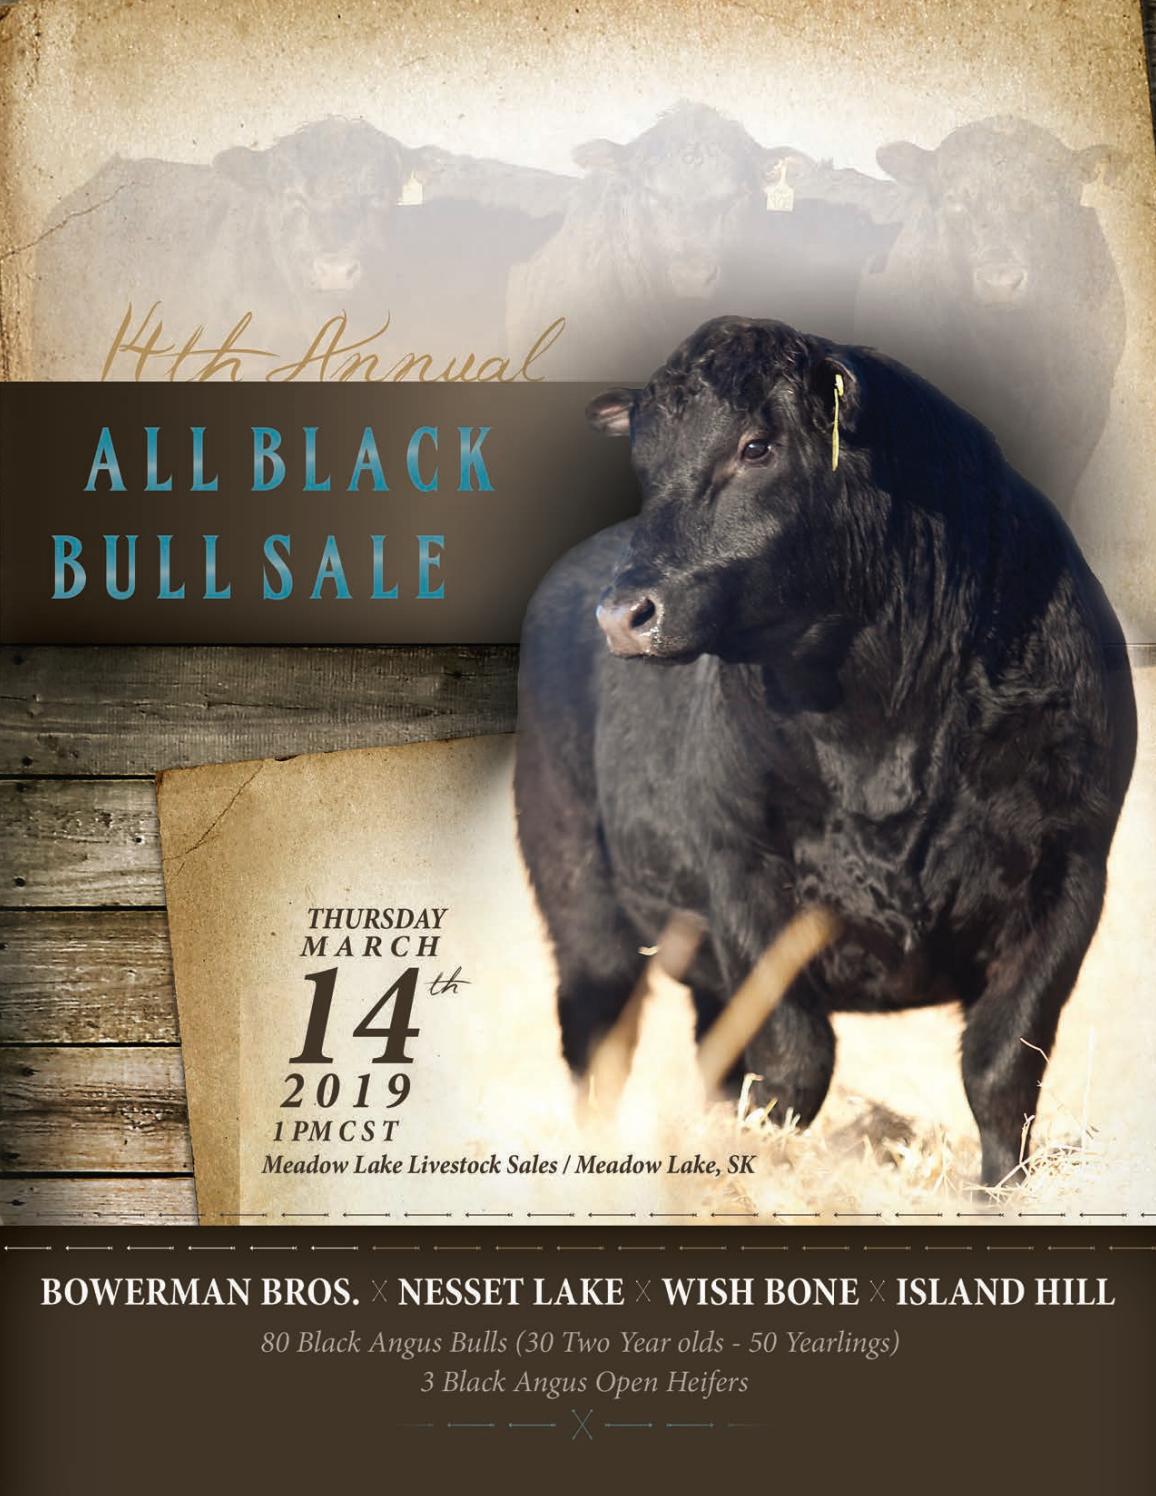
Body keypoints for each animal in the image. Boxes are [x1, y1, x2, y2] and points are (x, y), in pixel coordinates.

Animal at [515, 315, 1135, 1188]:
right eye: (645, 462)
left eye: (756, 446)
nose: (625, 613)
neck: (886, 731)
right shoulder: (741, 870)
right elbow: (793, 1064)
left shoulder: (1069, 871)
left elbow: (1001, 1066)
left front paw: (1000, 1193)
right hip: (580, 901)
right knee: (598, 1045)